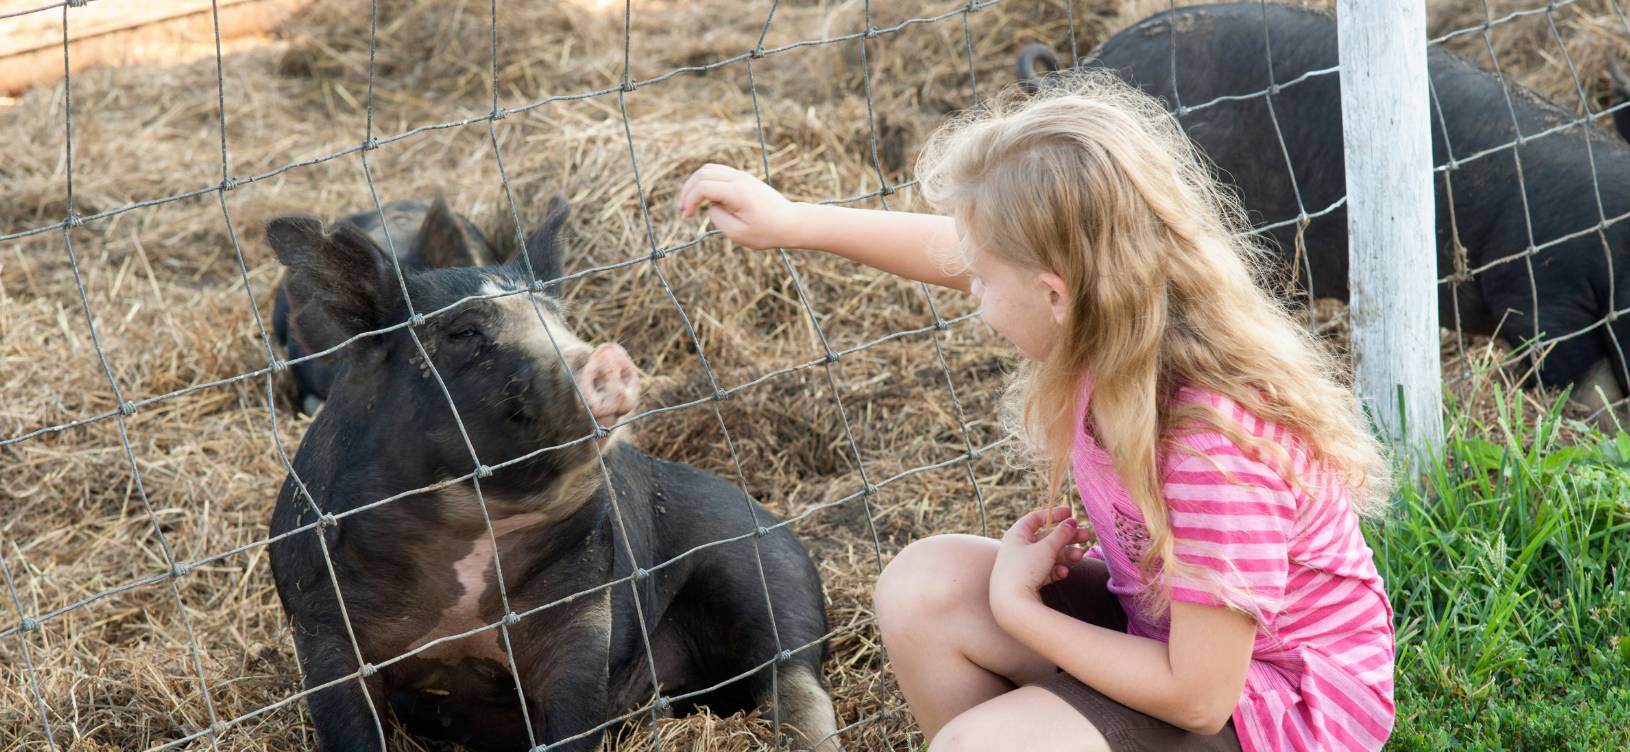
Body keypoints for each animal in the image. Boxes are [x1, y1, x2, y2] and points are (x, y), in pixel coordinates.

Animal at [263, 197, 840, 752]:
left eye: (560, 319)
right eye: (464, 330)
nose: (607, 358)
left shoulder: (582, 613)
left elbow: (573, 720)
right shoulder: (321, 629)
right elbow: (352, 730)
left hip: (766, 571)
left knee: (792, 680)